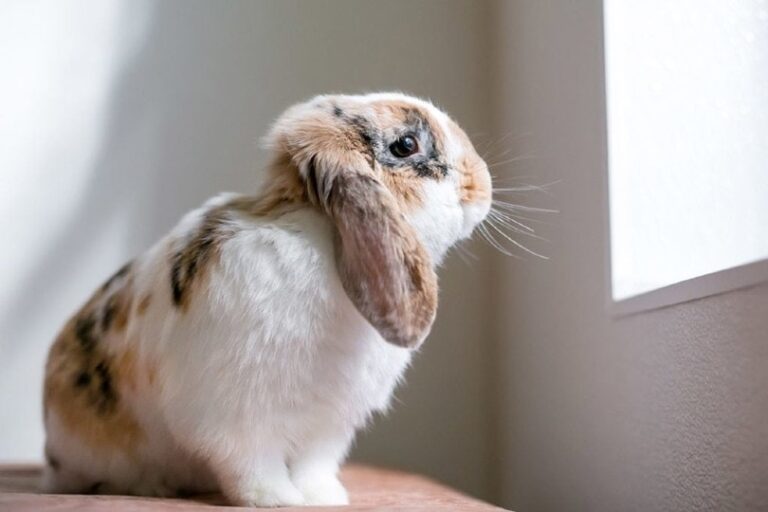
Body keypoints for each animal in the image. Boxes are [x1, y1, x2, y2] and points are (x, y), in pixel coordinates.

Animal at [42, 92, 492, 507]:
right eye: (406, 145)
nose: (482, 182)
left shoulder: (328, 424)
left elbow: (314, 465)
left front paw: (325, 498)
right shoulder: (237, 416)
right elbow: (253, 464)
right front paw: (277, 500)